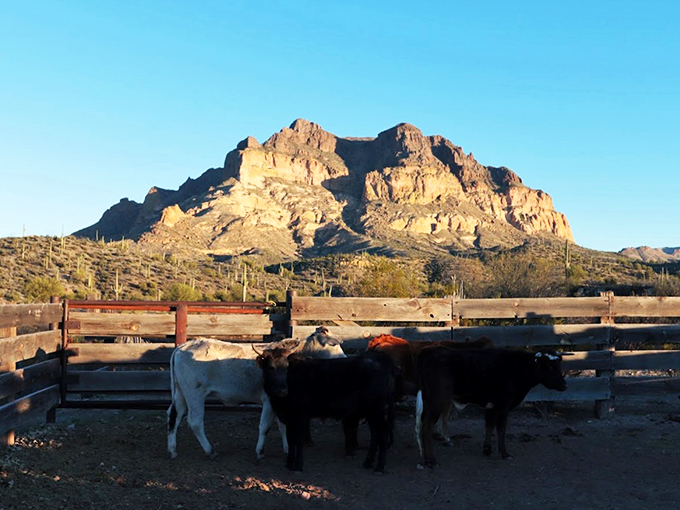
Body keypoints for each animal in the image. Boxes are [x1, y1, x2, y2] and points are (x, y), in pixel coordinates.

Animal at [166, 326, 345, 460]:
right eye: (333, 345)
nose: (344, 357)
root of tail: (181, 348)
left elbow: (282, 425)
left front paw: (287, 448)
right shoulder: (269, 400)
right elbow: (265, 426)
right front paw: (260, 452)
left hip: (181, 393)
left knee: (174, 415)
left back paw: (173, 449)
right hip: (194, 394)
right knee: (195, 421)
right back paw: (210, 451)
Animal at [255, 344, 398, 473]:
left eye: (286, 368)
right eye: (270, 368)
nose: (282, 390)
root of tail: (381, 357)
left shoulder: (301, 416)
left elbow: (298, 440)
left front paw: (298, 465)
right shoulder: (289, 418)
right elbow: (291, 439)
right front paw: (289, 463)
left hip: (376, 410)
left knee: (382, 434)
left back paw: (379, 467)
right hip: (372, 412)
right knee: (375, 435)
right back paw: (368, 462)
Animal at [415, 347, 568, 468]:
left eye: (558, 366)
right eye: (550, 367)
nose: (564, 385)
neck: (517, 368)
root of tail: (429, 351)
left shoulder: (491, 407)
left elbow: (489, 426)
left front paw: (487, 449)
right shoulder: (503, 407)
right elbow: (501, 429)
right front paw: (504, 453)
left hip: (429, 402)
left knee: (423, 426)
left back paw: (426, 459)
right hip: (437, 402)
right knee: (427, 426)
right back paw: (432, 460)